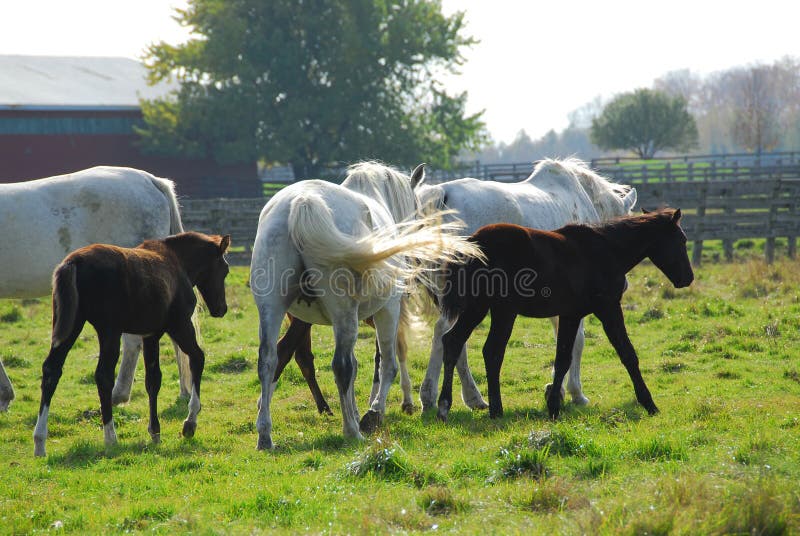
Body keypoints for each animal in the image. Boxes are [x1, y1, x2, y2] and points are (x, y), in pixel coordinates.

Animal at [33, 232, 230, 457]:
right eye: (225, 270)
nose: (221, 308)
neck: (176, 261)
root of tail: (73, 262)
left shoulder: (151, 335)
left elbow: (153, 381)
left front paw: (155, 432)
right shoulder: (179, 325)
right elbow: (198, 358)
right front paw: (190, 422)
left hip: (70, 325)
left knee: (52, 370)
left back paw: (40, 442)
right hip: (109, 330)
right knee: (103, 375)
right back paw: (111, 437)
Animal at [249, 162, 483, 450]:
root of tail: (301, 202)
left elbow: (362, 366)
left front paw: (359, 410)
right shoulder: (388, 310)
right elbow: (388, 364)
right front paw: (373, 412)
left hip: (272, 309)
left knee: (268, 361)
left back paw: (265, 435)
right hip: (344, 313)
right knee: (340, 365)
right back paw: (351, 430)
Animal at [414, 158, 637, 411]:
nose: (625, 284)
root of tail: (443, 195)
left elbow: (562, 340)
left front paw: (556, 389)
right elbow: (576, 342)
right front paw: (575, 393)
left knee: (451, 340)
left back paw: (468, 397)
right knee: (445, 334)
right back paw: (438, 396)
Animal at [436, 208, 693, 422]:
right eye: (682, 240)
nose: (687, 278)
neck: (606, 250)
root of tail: (474, 242)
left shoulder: (571, 315)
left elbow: (562, 359)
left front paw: (553, 407)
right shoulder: (608, 308)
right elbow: (628, 354)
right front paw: (649, 403)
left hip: (477, 308)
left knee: (453, 341)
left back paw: (444, 406)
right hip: (503, 311)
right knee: (492, 351)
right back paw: (495, 409)